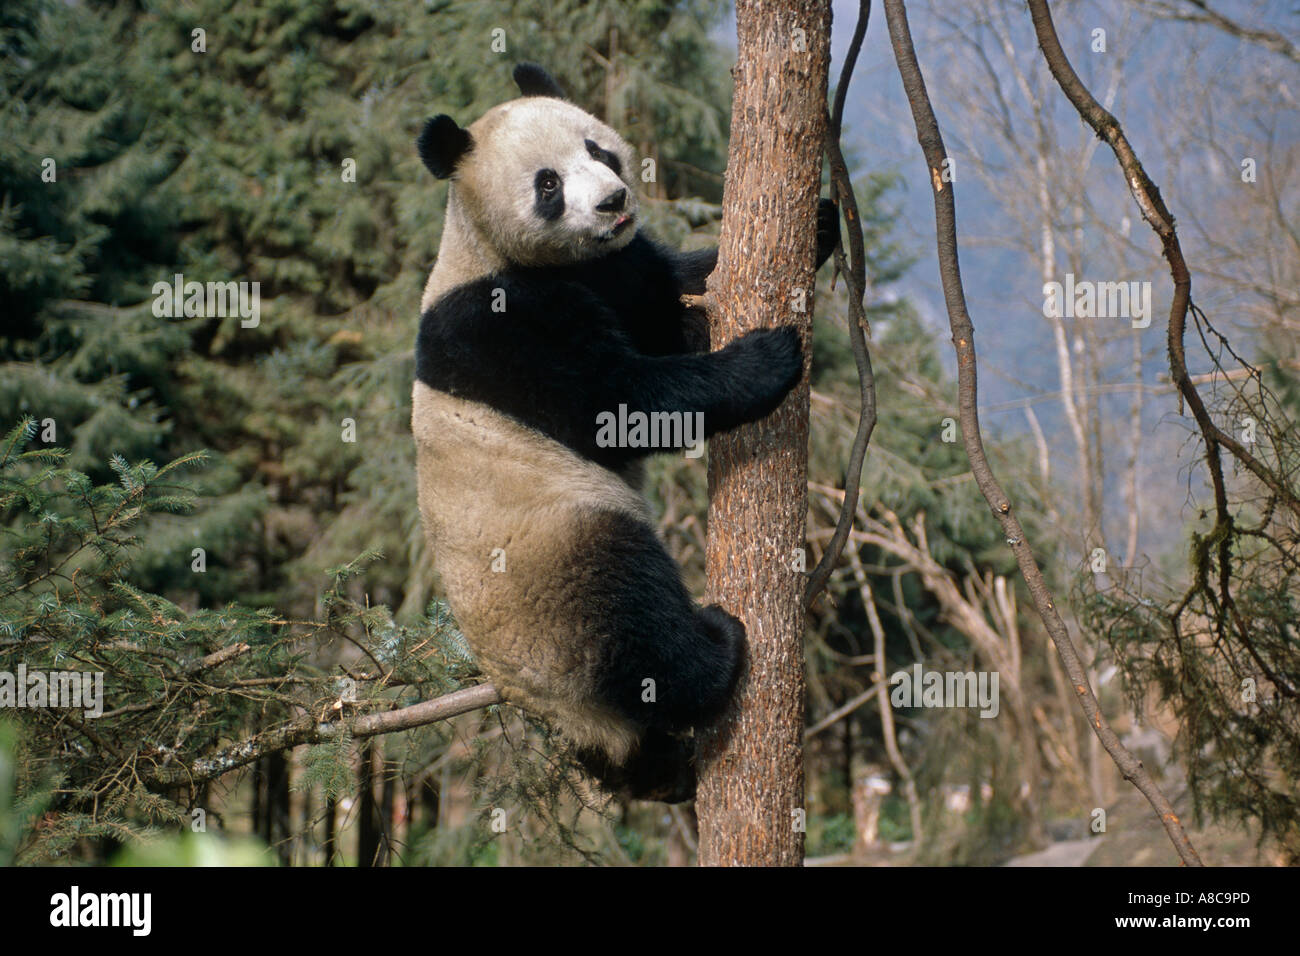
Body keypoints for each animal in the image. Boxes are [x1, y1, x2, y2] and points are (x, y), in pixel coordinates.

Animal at [412, 63, 838, 802]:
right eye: (547, 185)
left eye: (599, 150)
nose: (613, 202)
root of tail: (568, 718)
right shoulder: (493, 321)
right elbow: (618, 403)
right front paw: (765, 359)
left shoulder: (617, 269)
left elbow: (674, 308)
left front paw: (820, 224)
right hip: (549, 563)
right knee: (631, 615)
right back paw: (715, 649)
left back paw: (664, 772)